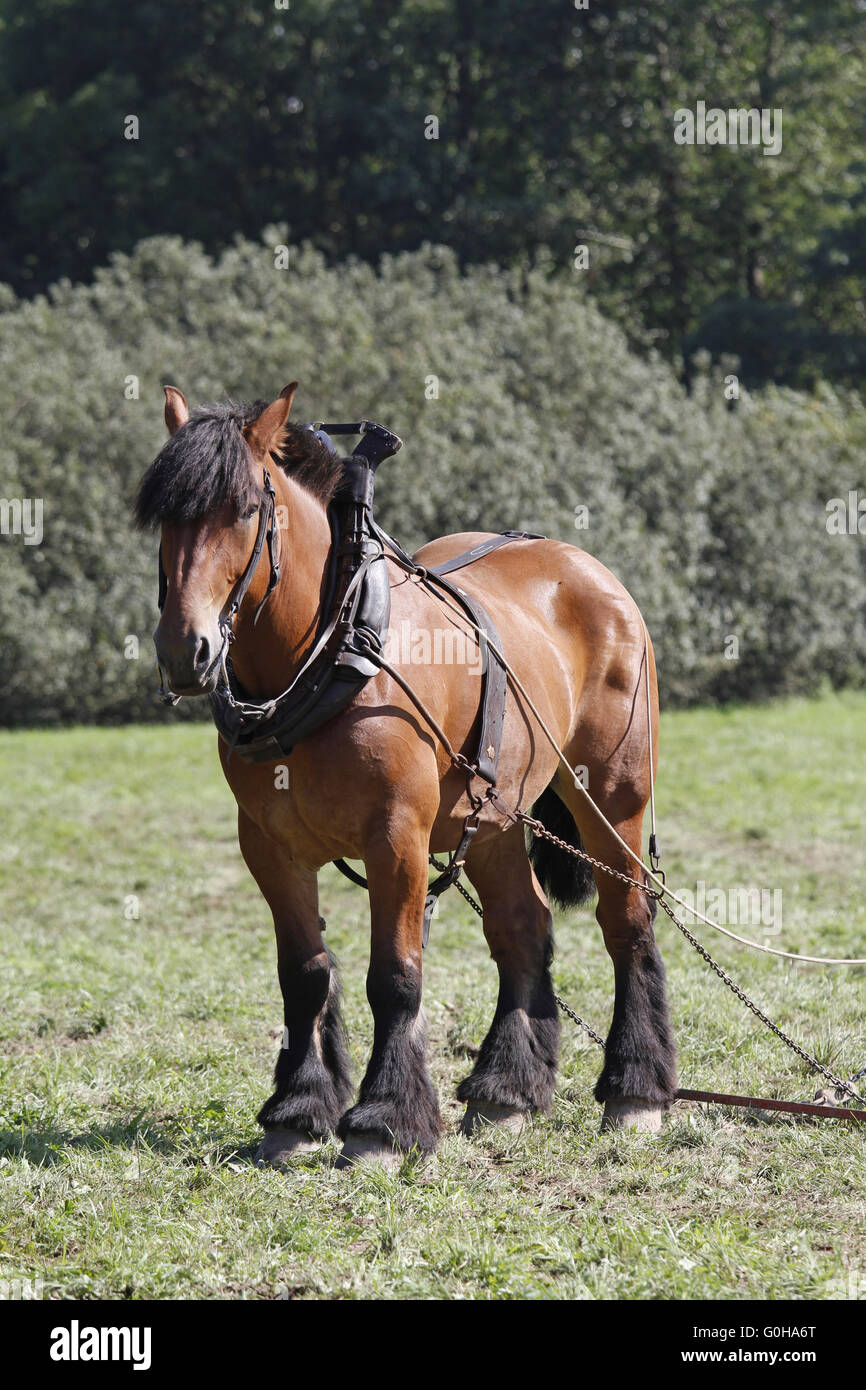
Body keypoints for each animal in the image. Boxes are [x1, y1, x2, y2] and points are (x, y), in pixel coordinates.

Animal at [136, 383, 676, 1168]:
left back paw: (636, 1090)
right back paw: (505, 1092)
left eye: (241, 509)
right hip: (494, 818)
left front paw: (382, 1123)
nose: (186, 650)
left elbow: (394, 976)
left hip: (612, 796)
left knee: (627, 921)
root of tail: (586, 567)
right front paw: (298, 1111)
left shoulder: (397, 838)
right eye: (161, 516)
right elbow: (305, 975)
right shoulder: (268, 845)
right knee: (522, 927)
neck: (335, 651)